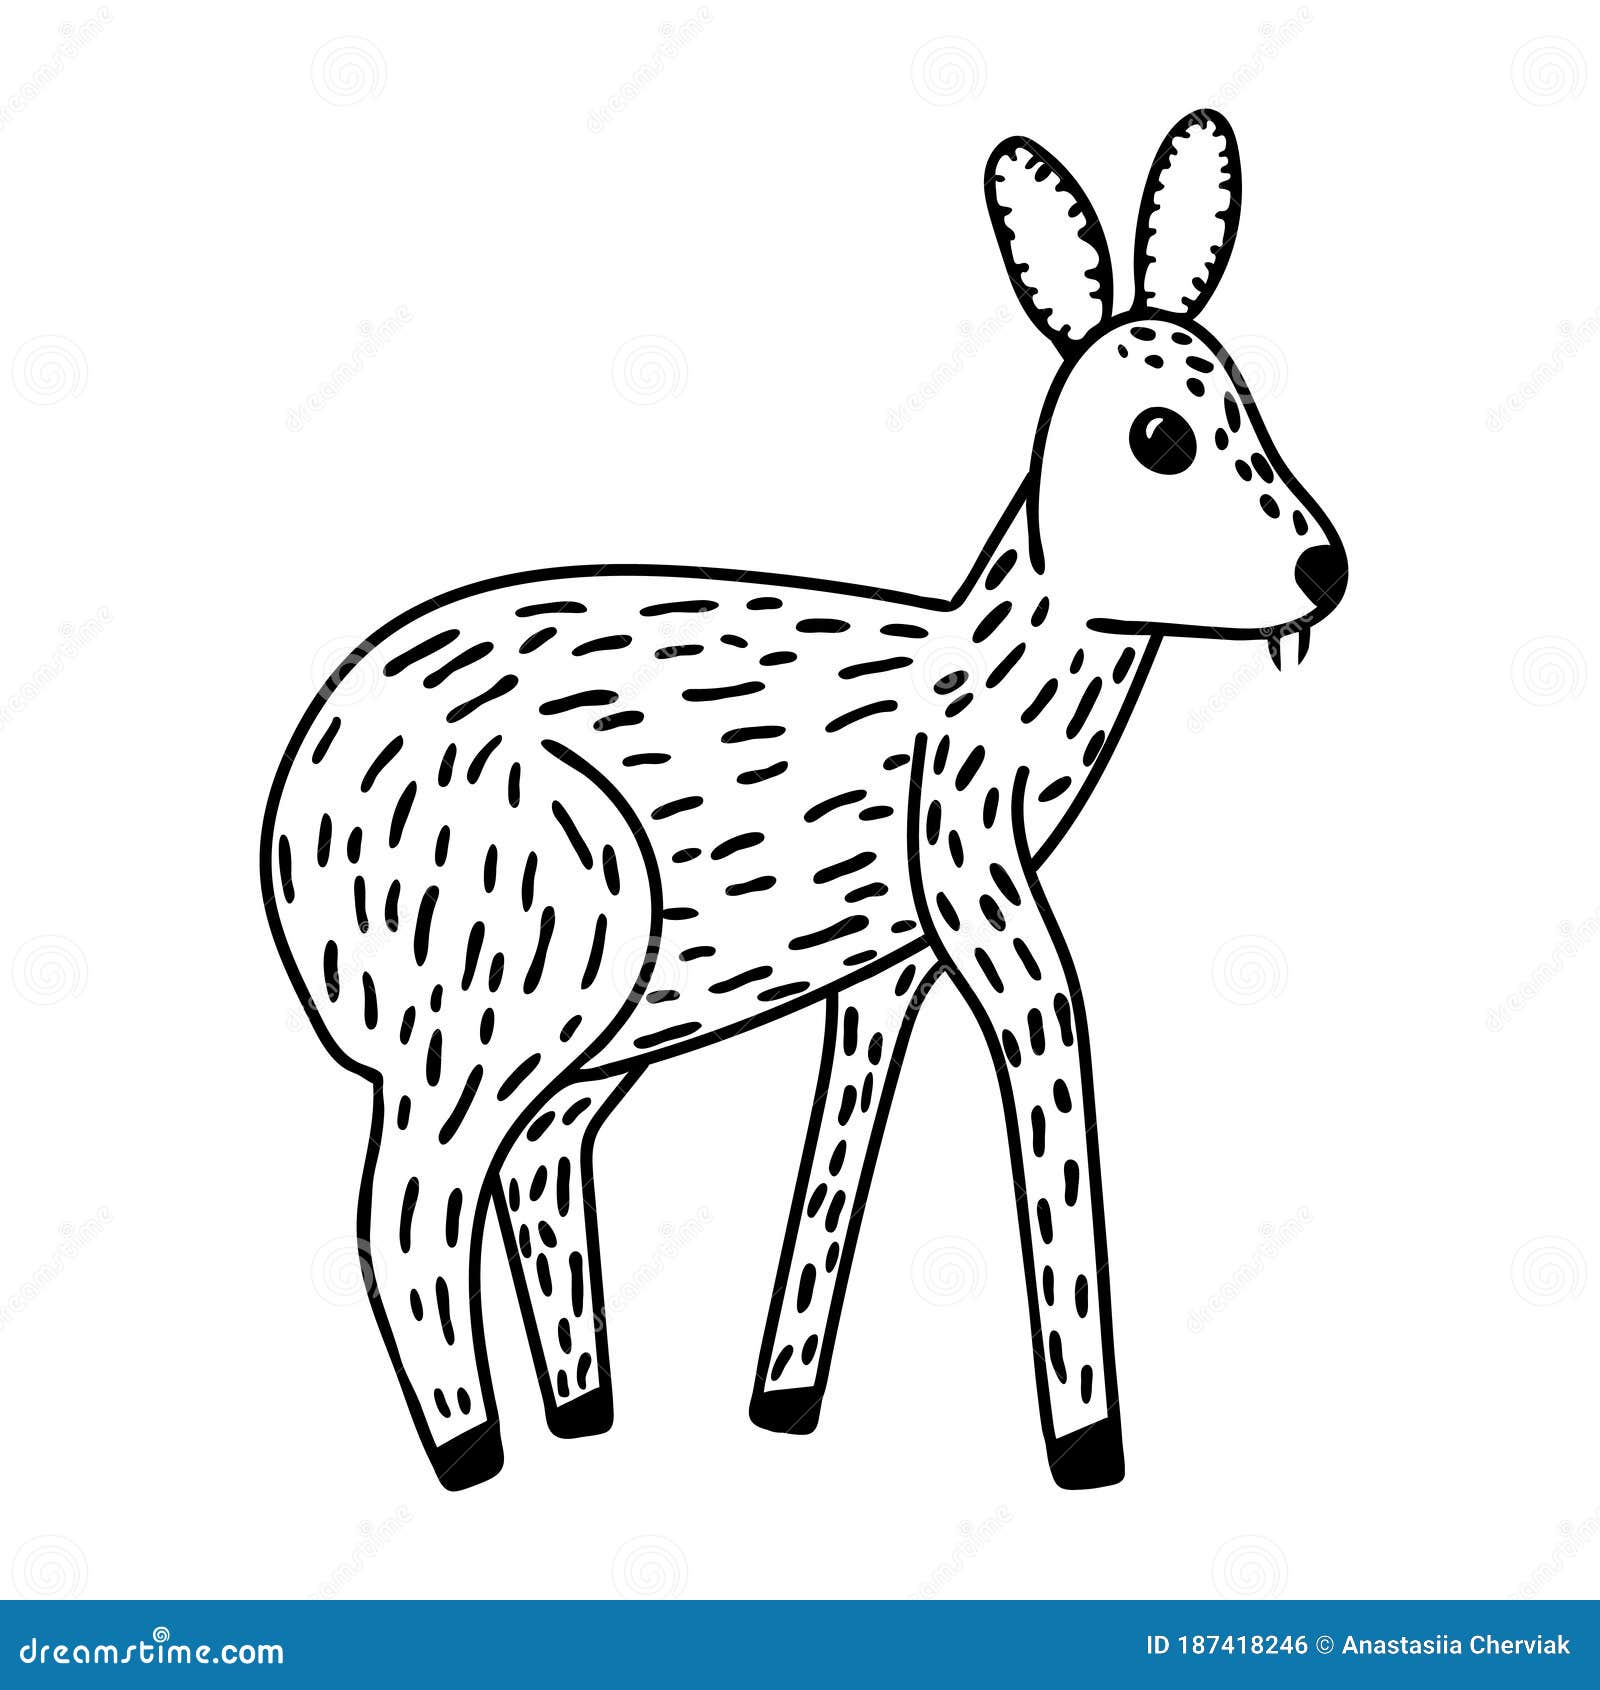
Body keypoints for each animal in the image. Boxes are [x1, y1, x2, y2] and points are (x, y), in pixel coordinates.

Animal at [261, 110, 1347, 1493]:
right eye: (1161, 435)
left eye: (1252, 404)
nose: (1325, 568)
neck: (982, 694)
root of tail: (298, 832)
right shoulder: (975, 876)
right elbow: (1055, 1098)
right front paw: (1087, 1443)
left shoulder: (885, 966)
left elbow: (838, 1155)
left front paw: (782, 1400)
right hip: (514, 974)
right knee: (407, 1209)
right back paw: (473, 1451)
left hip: (590, 1026)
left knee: (531, 1169)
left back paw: (583, 1413)